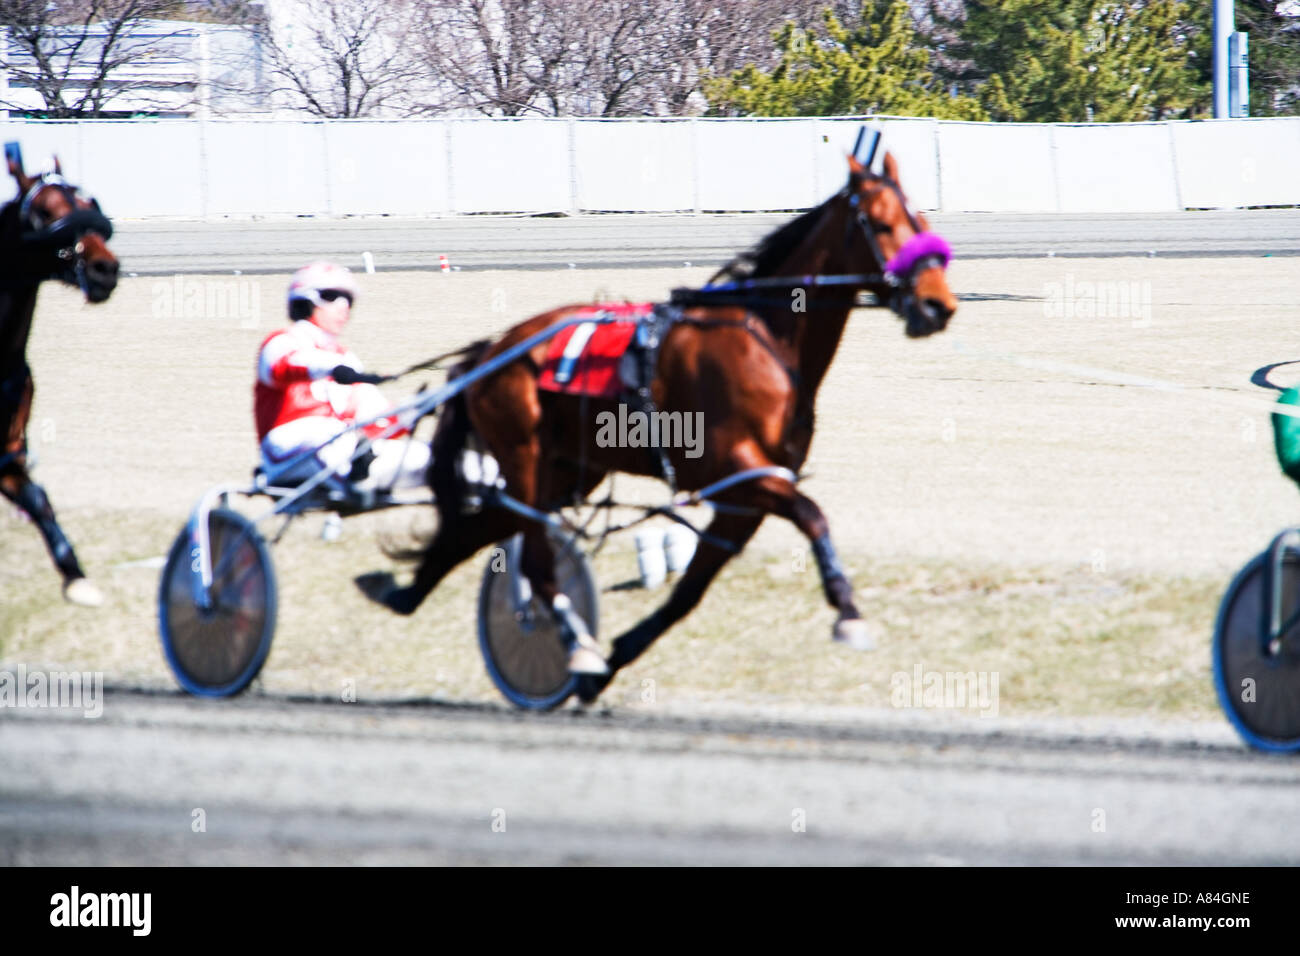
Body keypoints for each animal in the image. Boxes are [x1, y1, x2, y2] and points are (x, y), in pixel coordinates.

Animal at [0, 148, 119, 606]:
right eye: (46, 210)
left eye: (89, 204)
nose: (105, 269)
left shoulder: (8, 455)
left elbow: (38, 498)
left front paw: (75, 574)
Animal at [375, 145, 957, 703]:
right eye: (881, 224)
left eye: (923, 220)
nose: (939, 305)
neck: (766, 338)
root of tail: (493, 349)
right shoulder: (739, 470)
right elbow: (813, 516)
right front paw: (847, 611)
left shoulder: (744, 496)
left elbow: (687, 593)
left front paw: (618, 656)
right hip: (524, 456)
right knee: (535, 560)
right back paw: (573, 644)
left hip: (567, 471)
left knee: (483, 526)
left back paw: (408, 591)